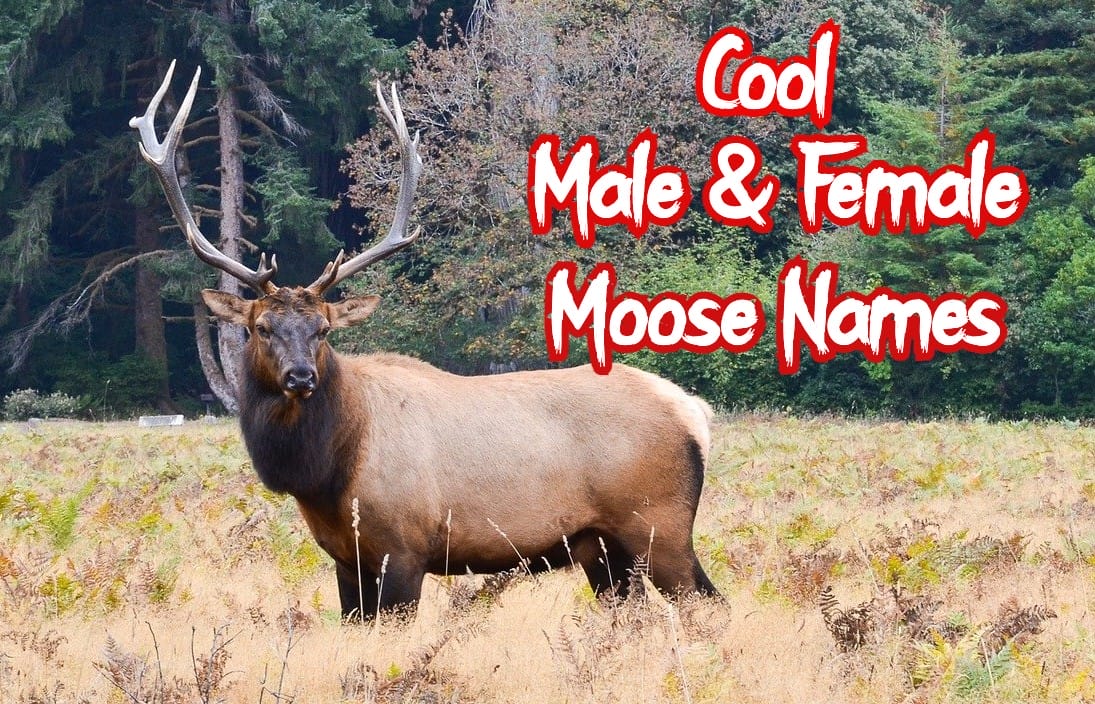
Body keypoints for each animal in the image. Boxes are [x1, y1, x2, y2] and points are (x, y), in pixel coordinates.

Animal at [131, 61, 719, 619]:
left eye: (323, 330)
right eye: (261, 328)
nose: (301, 376)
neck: (328, 472)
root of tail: (694, 411)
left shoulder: (404, 549)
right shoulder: (345, 558)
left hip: (659, 524)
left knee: (709, 605)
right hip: (601, 548)